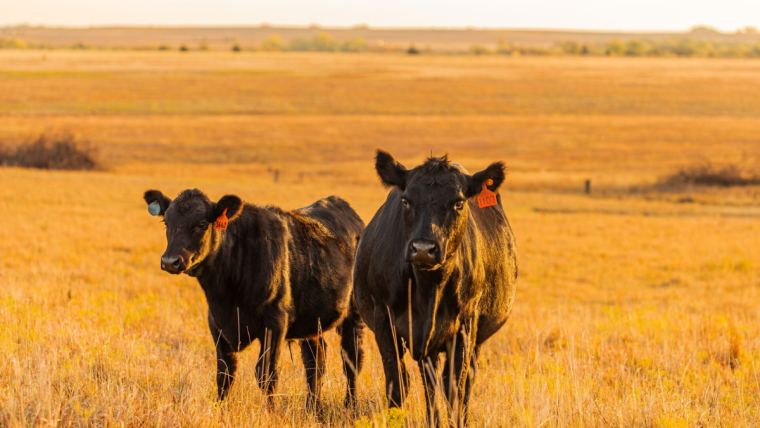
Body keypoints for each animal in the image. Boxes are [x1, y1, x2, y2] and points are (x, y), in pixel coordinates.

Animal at [143, 189, 365, 412]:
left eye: (202, 224)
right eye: (166, 223)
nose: (170, 261)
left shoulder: (275, 323)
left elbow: (266, 374)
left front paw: (271, 412)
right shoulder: (217, 325)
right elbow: (225, 375)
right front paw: (221, 410)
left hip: (353, 316)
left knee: (351, 360)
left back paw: (351, 405)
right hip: (312, 323)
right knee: (315, 362)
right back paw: (312, 408)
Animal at [352, 151, 518, 426]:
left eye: (458, 203)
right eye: (406, 200)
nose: (423, 249)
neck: (429, 287)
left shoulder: (465, 323)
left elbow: (455, 385)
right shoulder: (383, 318)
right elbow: (397, 383)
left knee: (463, 380)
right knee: (427, 380)